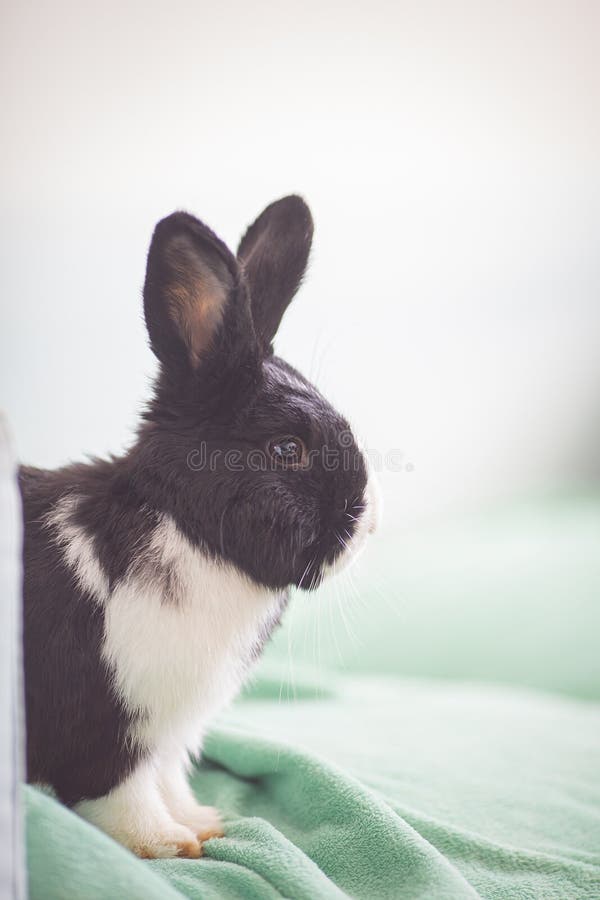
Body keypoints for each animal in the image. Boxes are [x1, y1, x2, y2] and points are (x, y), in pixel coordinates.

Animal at [19, 195, 379, 859]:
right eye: (287, 449)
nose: (368, 522)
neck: (184, 530)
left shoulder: (169, 733)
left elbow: (168, 779)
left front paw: (202, 823)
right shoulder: (110, 723)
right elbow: (119, 793)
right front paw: (166, 845)